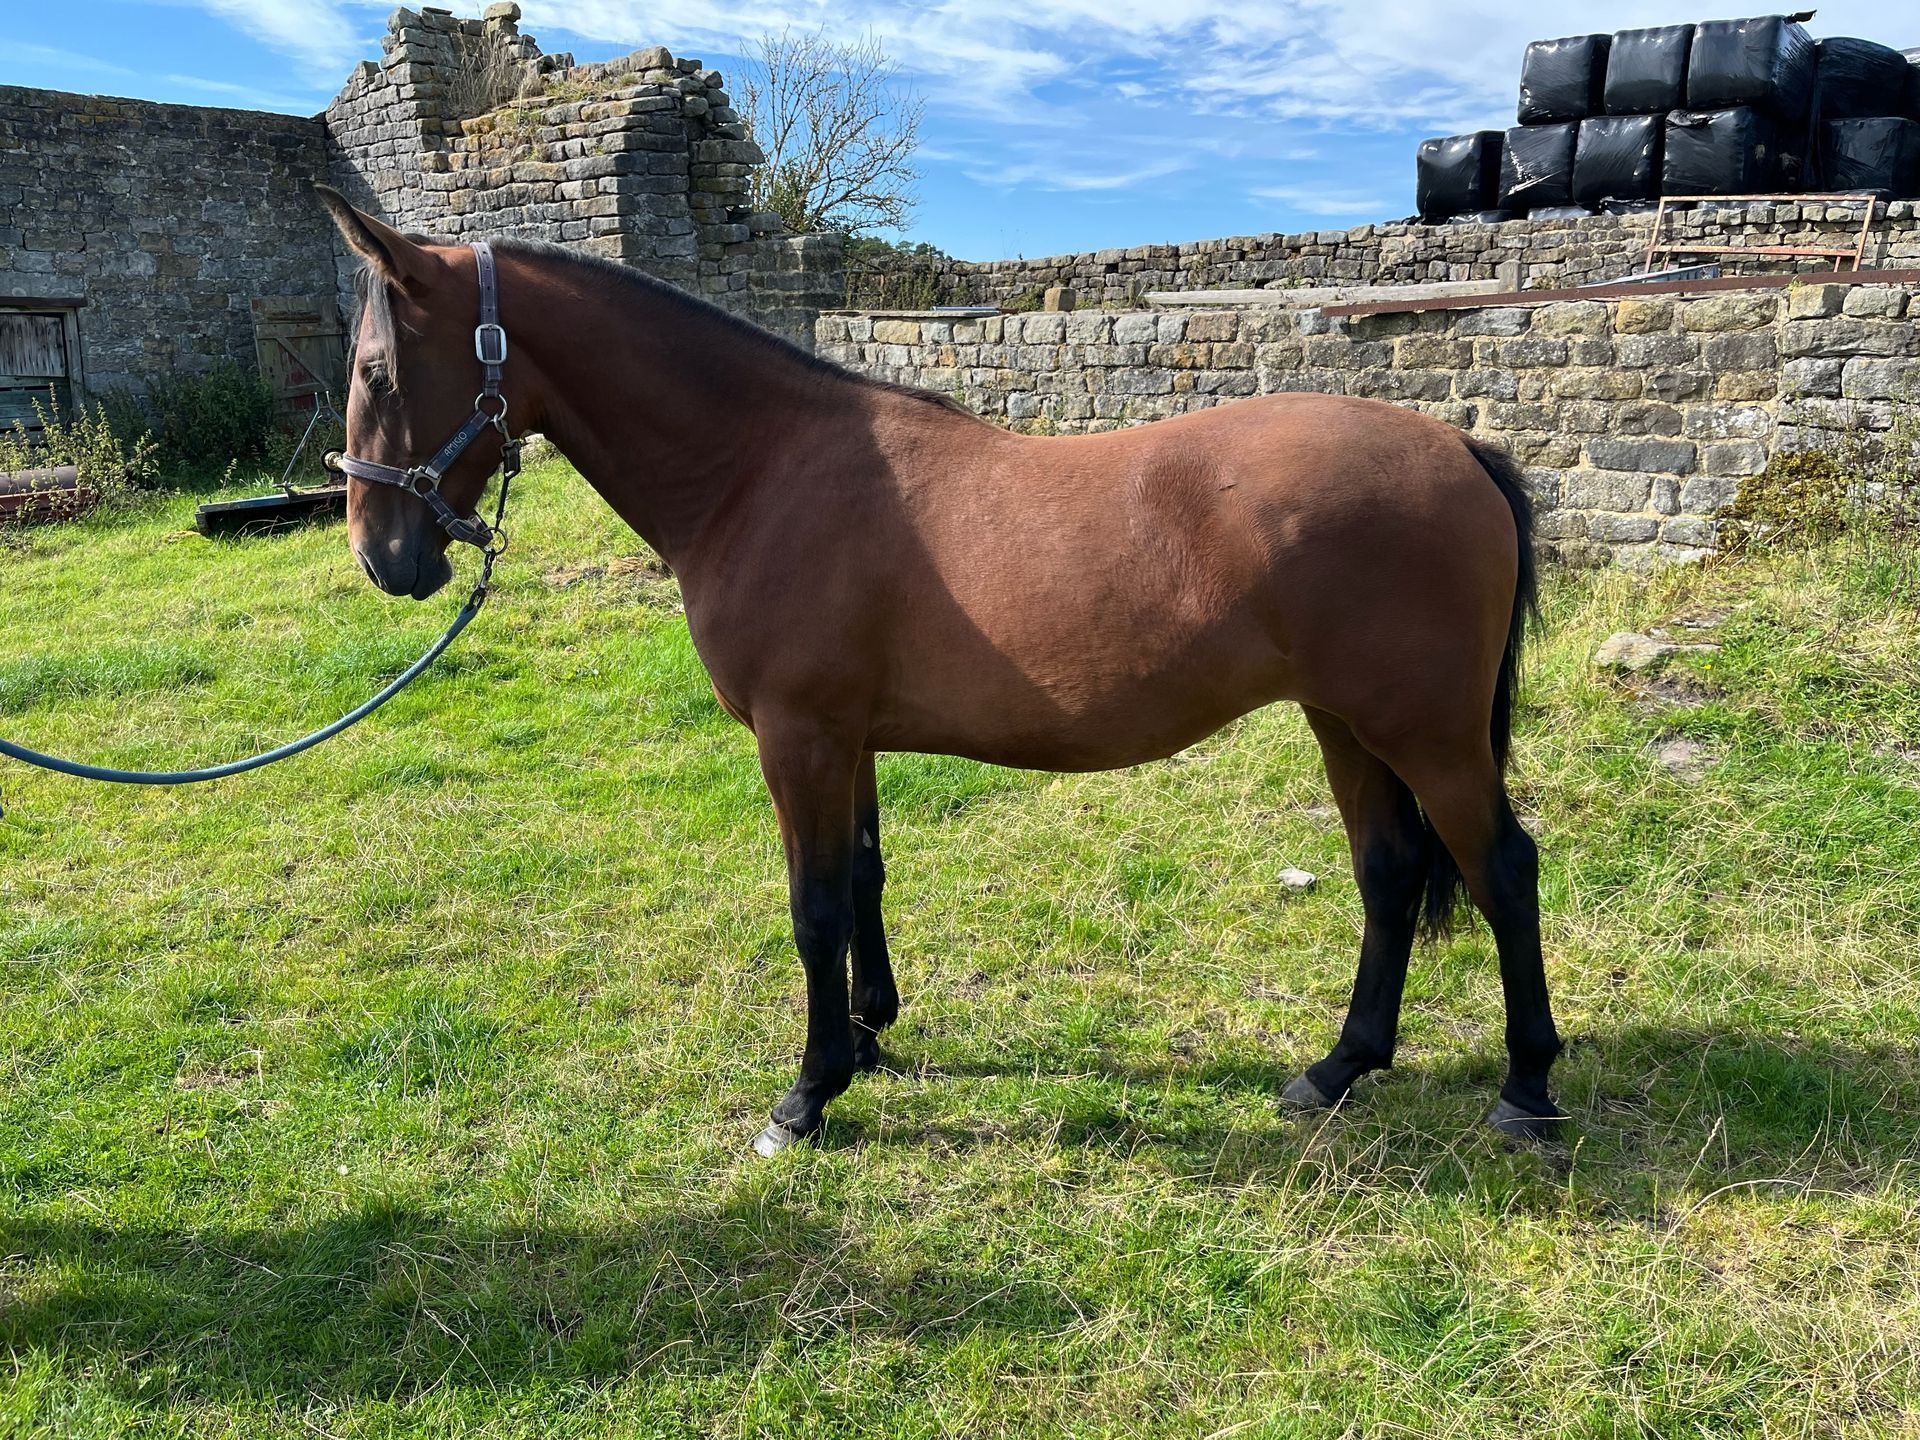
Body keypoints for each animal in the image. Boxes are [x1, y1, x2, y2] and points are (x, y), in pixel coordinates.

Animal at [316, 186, 1564, 1157]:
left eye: (378, 371)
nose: (382, 556)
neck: (763, 469)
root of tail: (1460, 448)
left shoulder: (799, 737)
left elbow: (814, 905)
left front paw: (808, 1093)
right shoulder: (847, 738)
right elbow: (864, 881)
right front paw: (868, 1037)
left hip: (1428, 734)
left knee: (1502, 870)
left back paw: (1525, 1088)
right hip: (1344, 723)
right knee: (1390, 873)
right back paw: (1339, 1067)